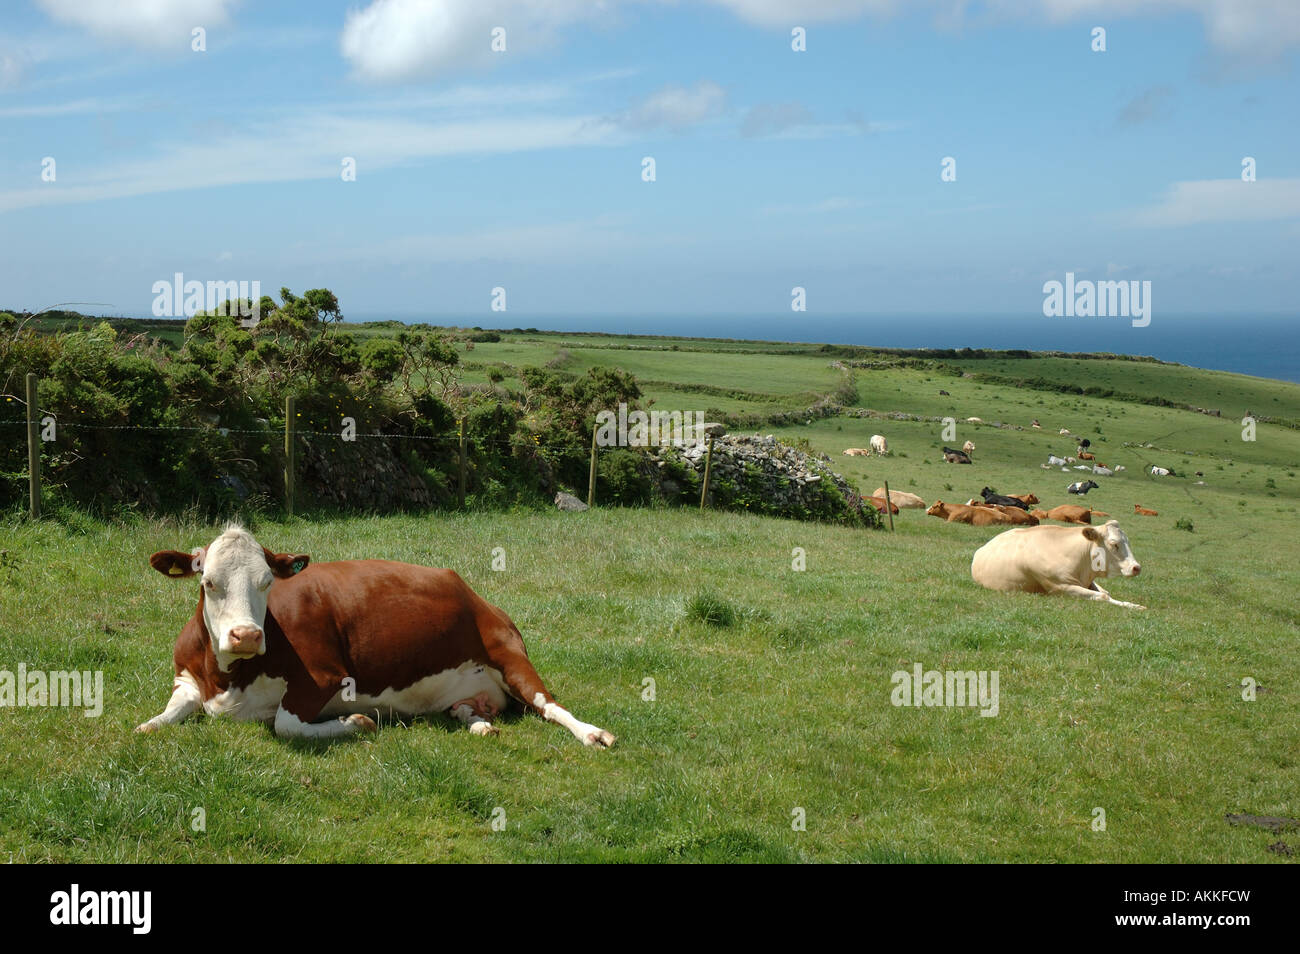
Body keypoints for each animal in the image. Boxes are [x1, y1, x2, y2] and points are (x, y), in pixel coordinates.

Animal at [137, 526, 617, 747]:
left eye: (266, 582)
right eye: (209, 582)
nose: (246, 636)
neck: (227, 680)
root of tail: (477, 596)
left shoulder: (325, 675)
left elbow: (285, 723)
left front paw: (356, 722)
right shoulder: (186, 678)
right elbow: (164, 717)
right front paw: (146, 725)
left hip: (509, 654)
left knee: (549, 704)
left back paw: (592, 733)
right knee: (472, 709)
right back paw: (476, 721)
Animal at [971, 521, 1145, 609]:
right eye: (1114, 544)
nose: (1136, 567)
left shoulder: (1088, 583)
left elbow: (1106, 593)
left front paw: (1134, 605)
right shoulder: (1060, 588)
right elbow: (1103, 596)